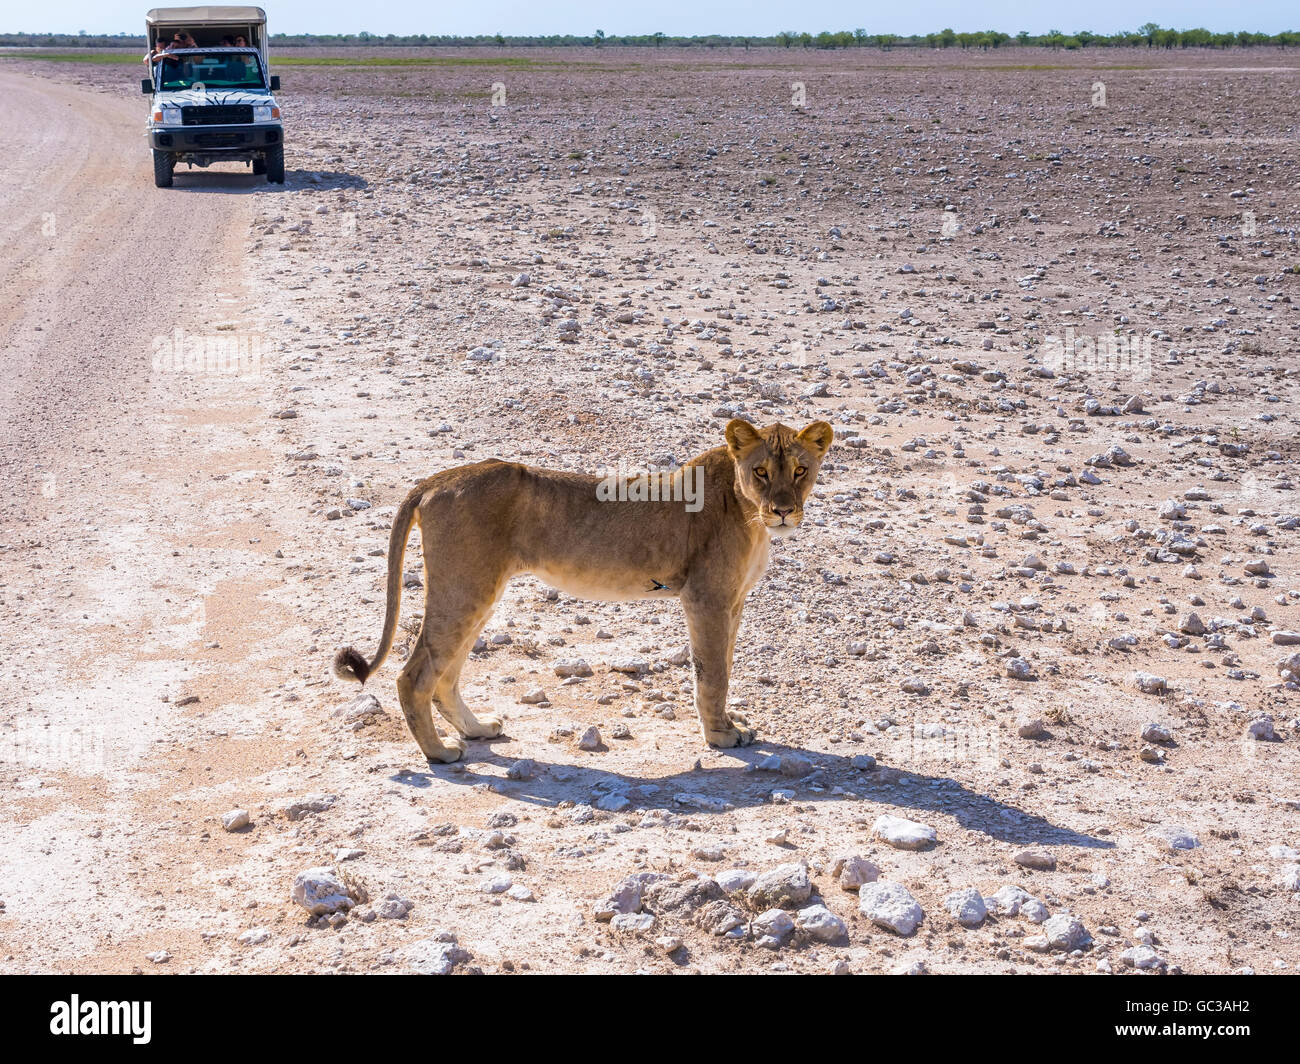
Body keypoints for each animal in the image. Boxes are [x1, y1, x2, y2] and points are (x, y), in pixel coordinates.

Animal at [333, 418, 834, 763]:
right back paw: (439, 753)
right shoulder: (706, 599)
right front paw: (721, 736)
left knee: (445, 676)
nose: (783, 511)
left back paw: (477, 730)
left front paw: (732, 725)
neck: (750, 513)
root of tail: (435, 480)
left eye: (801, 470)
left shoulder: (734, 601)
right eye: (762, 472)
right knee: (414, 675)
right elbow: (713, 674)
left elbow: (724, 665)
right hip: (464, 587)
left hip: (478, 592)